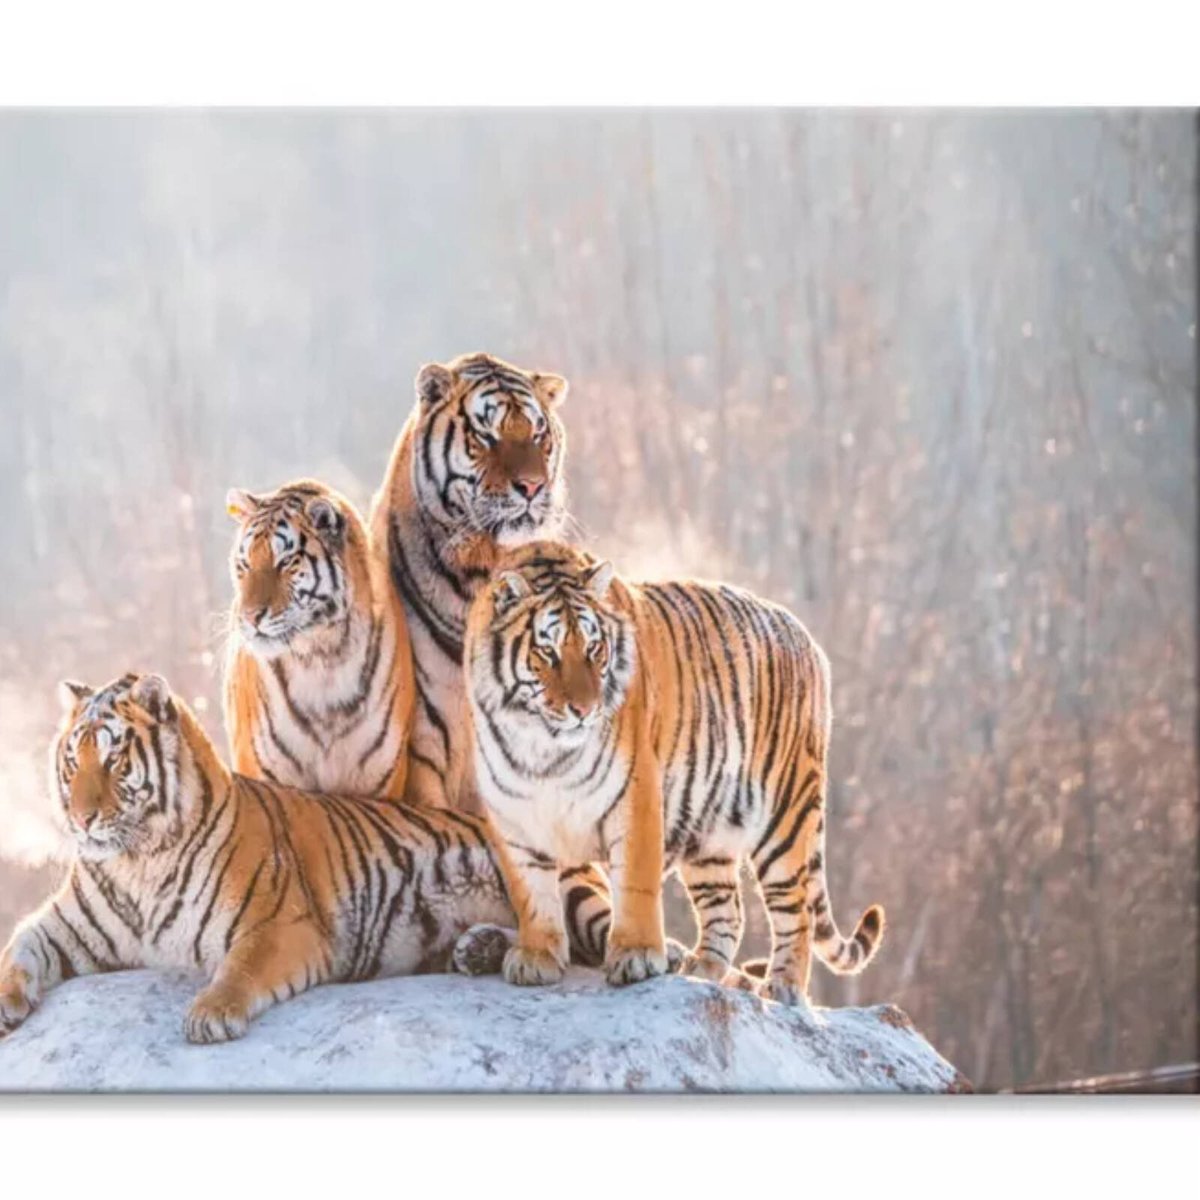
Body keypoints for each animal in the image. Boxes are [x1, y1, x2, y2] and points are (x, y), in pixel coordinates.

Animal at [0, 672, 514, 1045]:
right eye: (73, 761)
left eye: (112, 760)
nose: (79, 818)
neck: (137, 863)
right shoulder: (64, 927)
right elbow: (16, 949)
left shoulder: (280, 925)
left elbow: (241, 966)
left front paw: (209, 1014)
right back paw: (479, 948)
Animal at [464, 541, 886, 1005]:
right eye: (548, 652)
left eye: (594, 648)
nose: (585, 710)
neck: (542, 749)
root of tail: (806, 636)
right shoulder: (513, 817)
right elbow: (532, 892)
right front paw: (536, 957)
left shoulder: (634, 797)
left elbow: (634, 884)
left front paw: (636, 957)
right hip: (711, 833)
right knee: (729, 912)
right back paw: (700, 971)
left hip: (785, 815)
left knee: (795, 908)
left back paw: (784, 986)